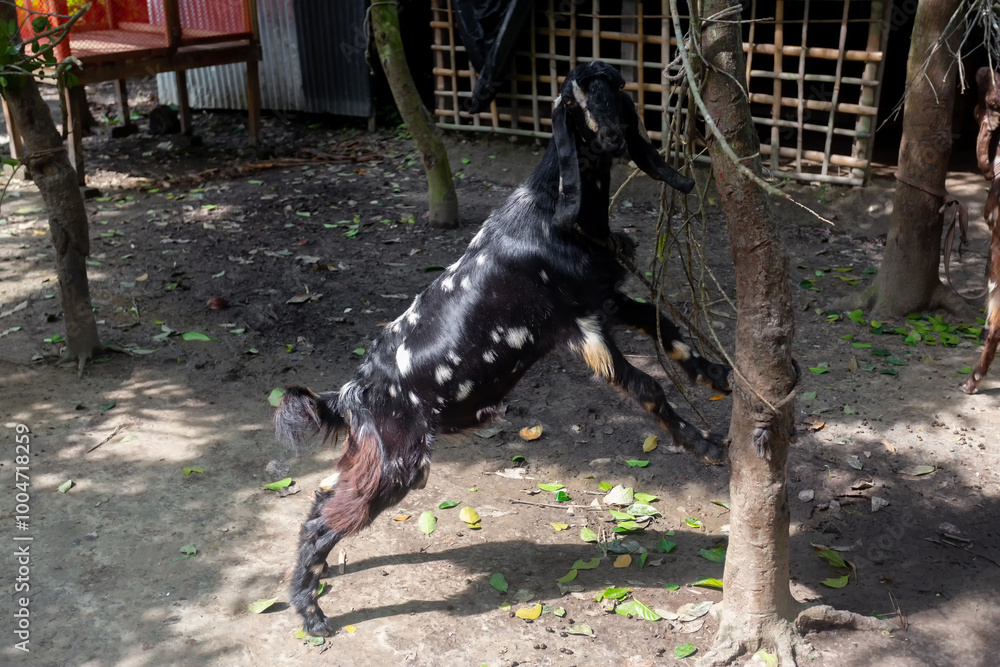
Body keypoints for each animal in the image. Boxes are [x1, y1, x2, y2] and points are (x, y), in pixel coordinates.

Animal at [274, 60, 731, 636]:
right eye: (582, 95)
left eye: (615, 87)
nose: (612, 134)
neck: (556, 212)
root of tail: (351, 393)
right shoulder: (583, 329)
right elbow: (648, 386)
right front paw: (705, 444)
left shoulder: (607, 299)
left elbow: (666, 328)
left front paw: (717, 374)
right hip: (397, 466)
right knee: (325, 518)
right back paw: (310, 611)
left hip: (373, 461)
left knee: (322, 502)